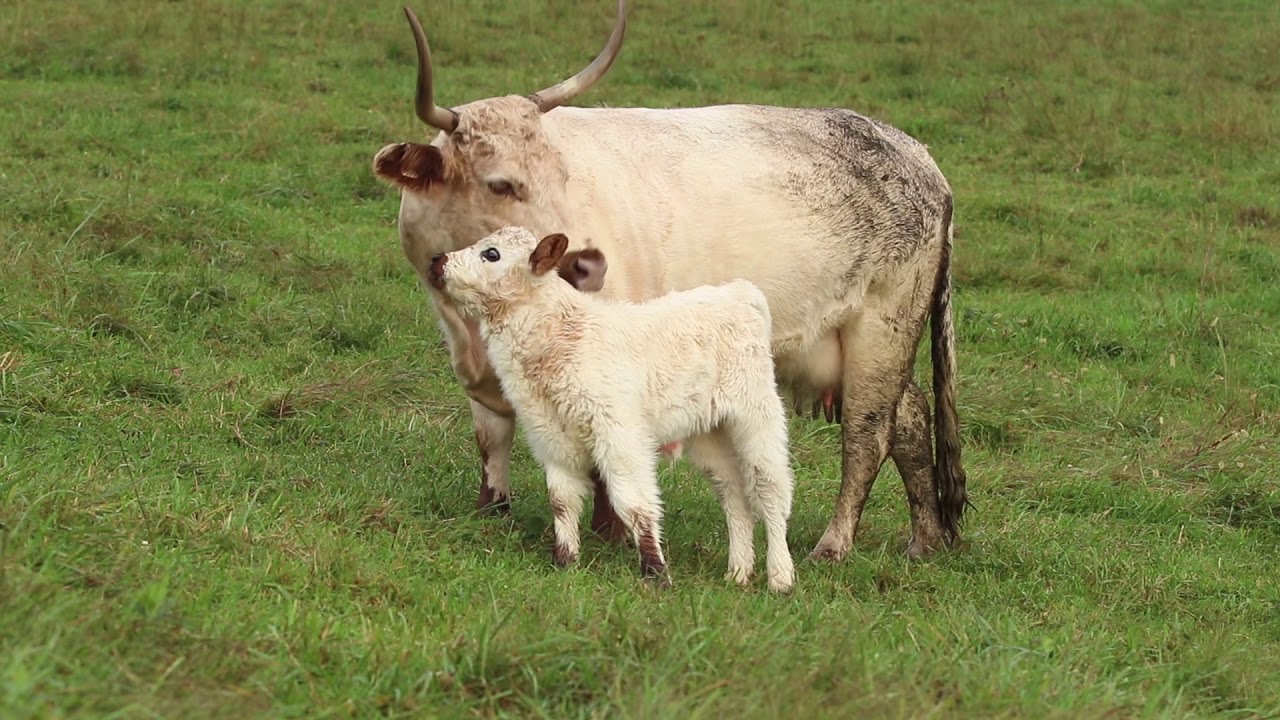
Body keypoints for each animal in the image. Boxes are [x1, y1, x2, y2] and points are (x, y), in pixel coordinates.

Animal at [371, 0, 970, 563]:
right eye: (500, 184)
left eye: (563, 176)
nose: (584, 260)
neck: (480, 327)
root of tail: (921, 158)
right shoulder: (474, 362)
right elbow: (490, 435)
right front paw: (491, 511)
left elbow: (609, 454)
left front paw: (612, 533)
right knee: (911, 420)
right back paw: (925, 540)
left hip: (882, 329)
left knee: (869, 433)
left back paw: (834, 544)